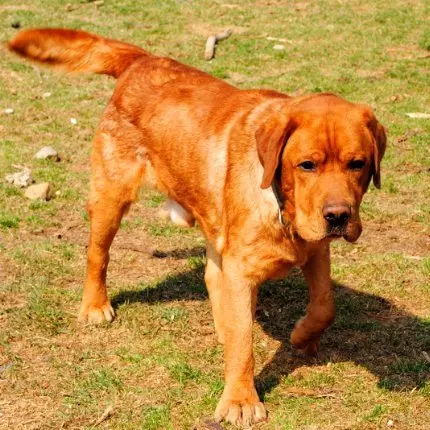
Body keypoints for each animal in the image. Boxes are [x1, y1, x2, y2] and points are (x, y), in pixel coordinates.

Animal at [9, 27, 386, 426]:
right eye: (307, 165)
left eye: (358, 163)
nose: (338, 216)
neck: (281, 207)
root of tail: (144, 59)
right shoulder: (244, 268)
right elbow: (244, 344)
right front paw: (240, 399)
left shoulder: (316, 251)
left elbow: (325, 306)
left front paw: (301, 336)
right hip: (111, 195)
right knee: (97, 253)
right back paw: (96, 305)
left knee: (211, 274)